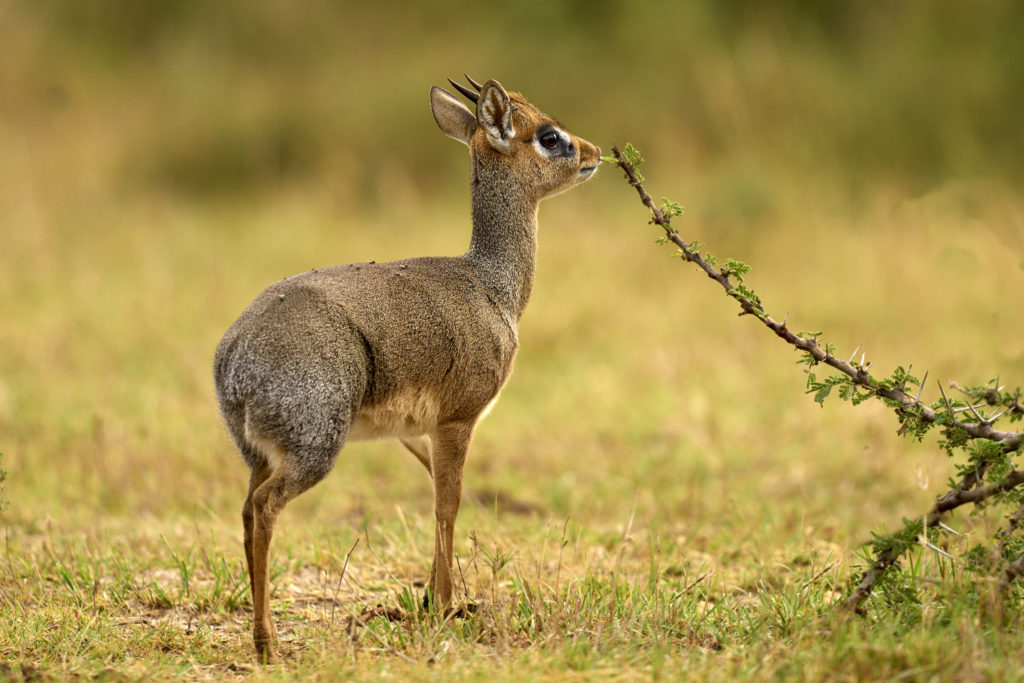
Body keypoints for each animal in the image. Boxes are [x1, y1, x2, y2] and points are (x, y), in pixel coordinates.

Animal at [214, 76, 600, 661]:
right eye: (549, 136)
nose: (596, 153)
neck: (490, 286)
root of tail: (235, 354)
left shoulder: (418, 432)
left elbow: (438, 500)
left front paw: (437, 600)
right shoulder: (459, 419)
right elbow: (449, 505)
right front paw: (445, 606)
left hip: (260, 454)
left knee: (244, 511)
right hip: (314, 449)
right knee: (263, 508)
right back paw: (266, 644)